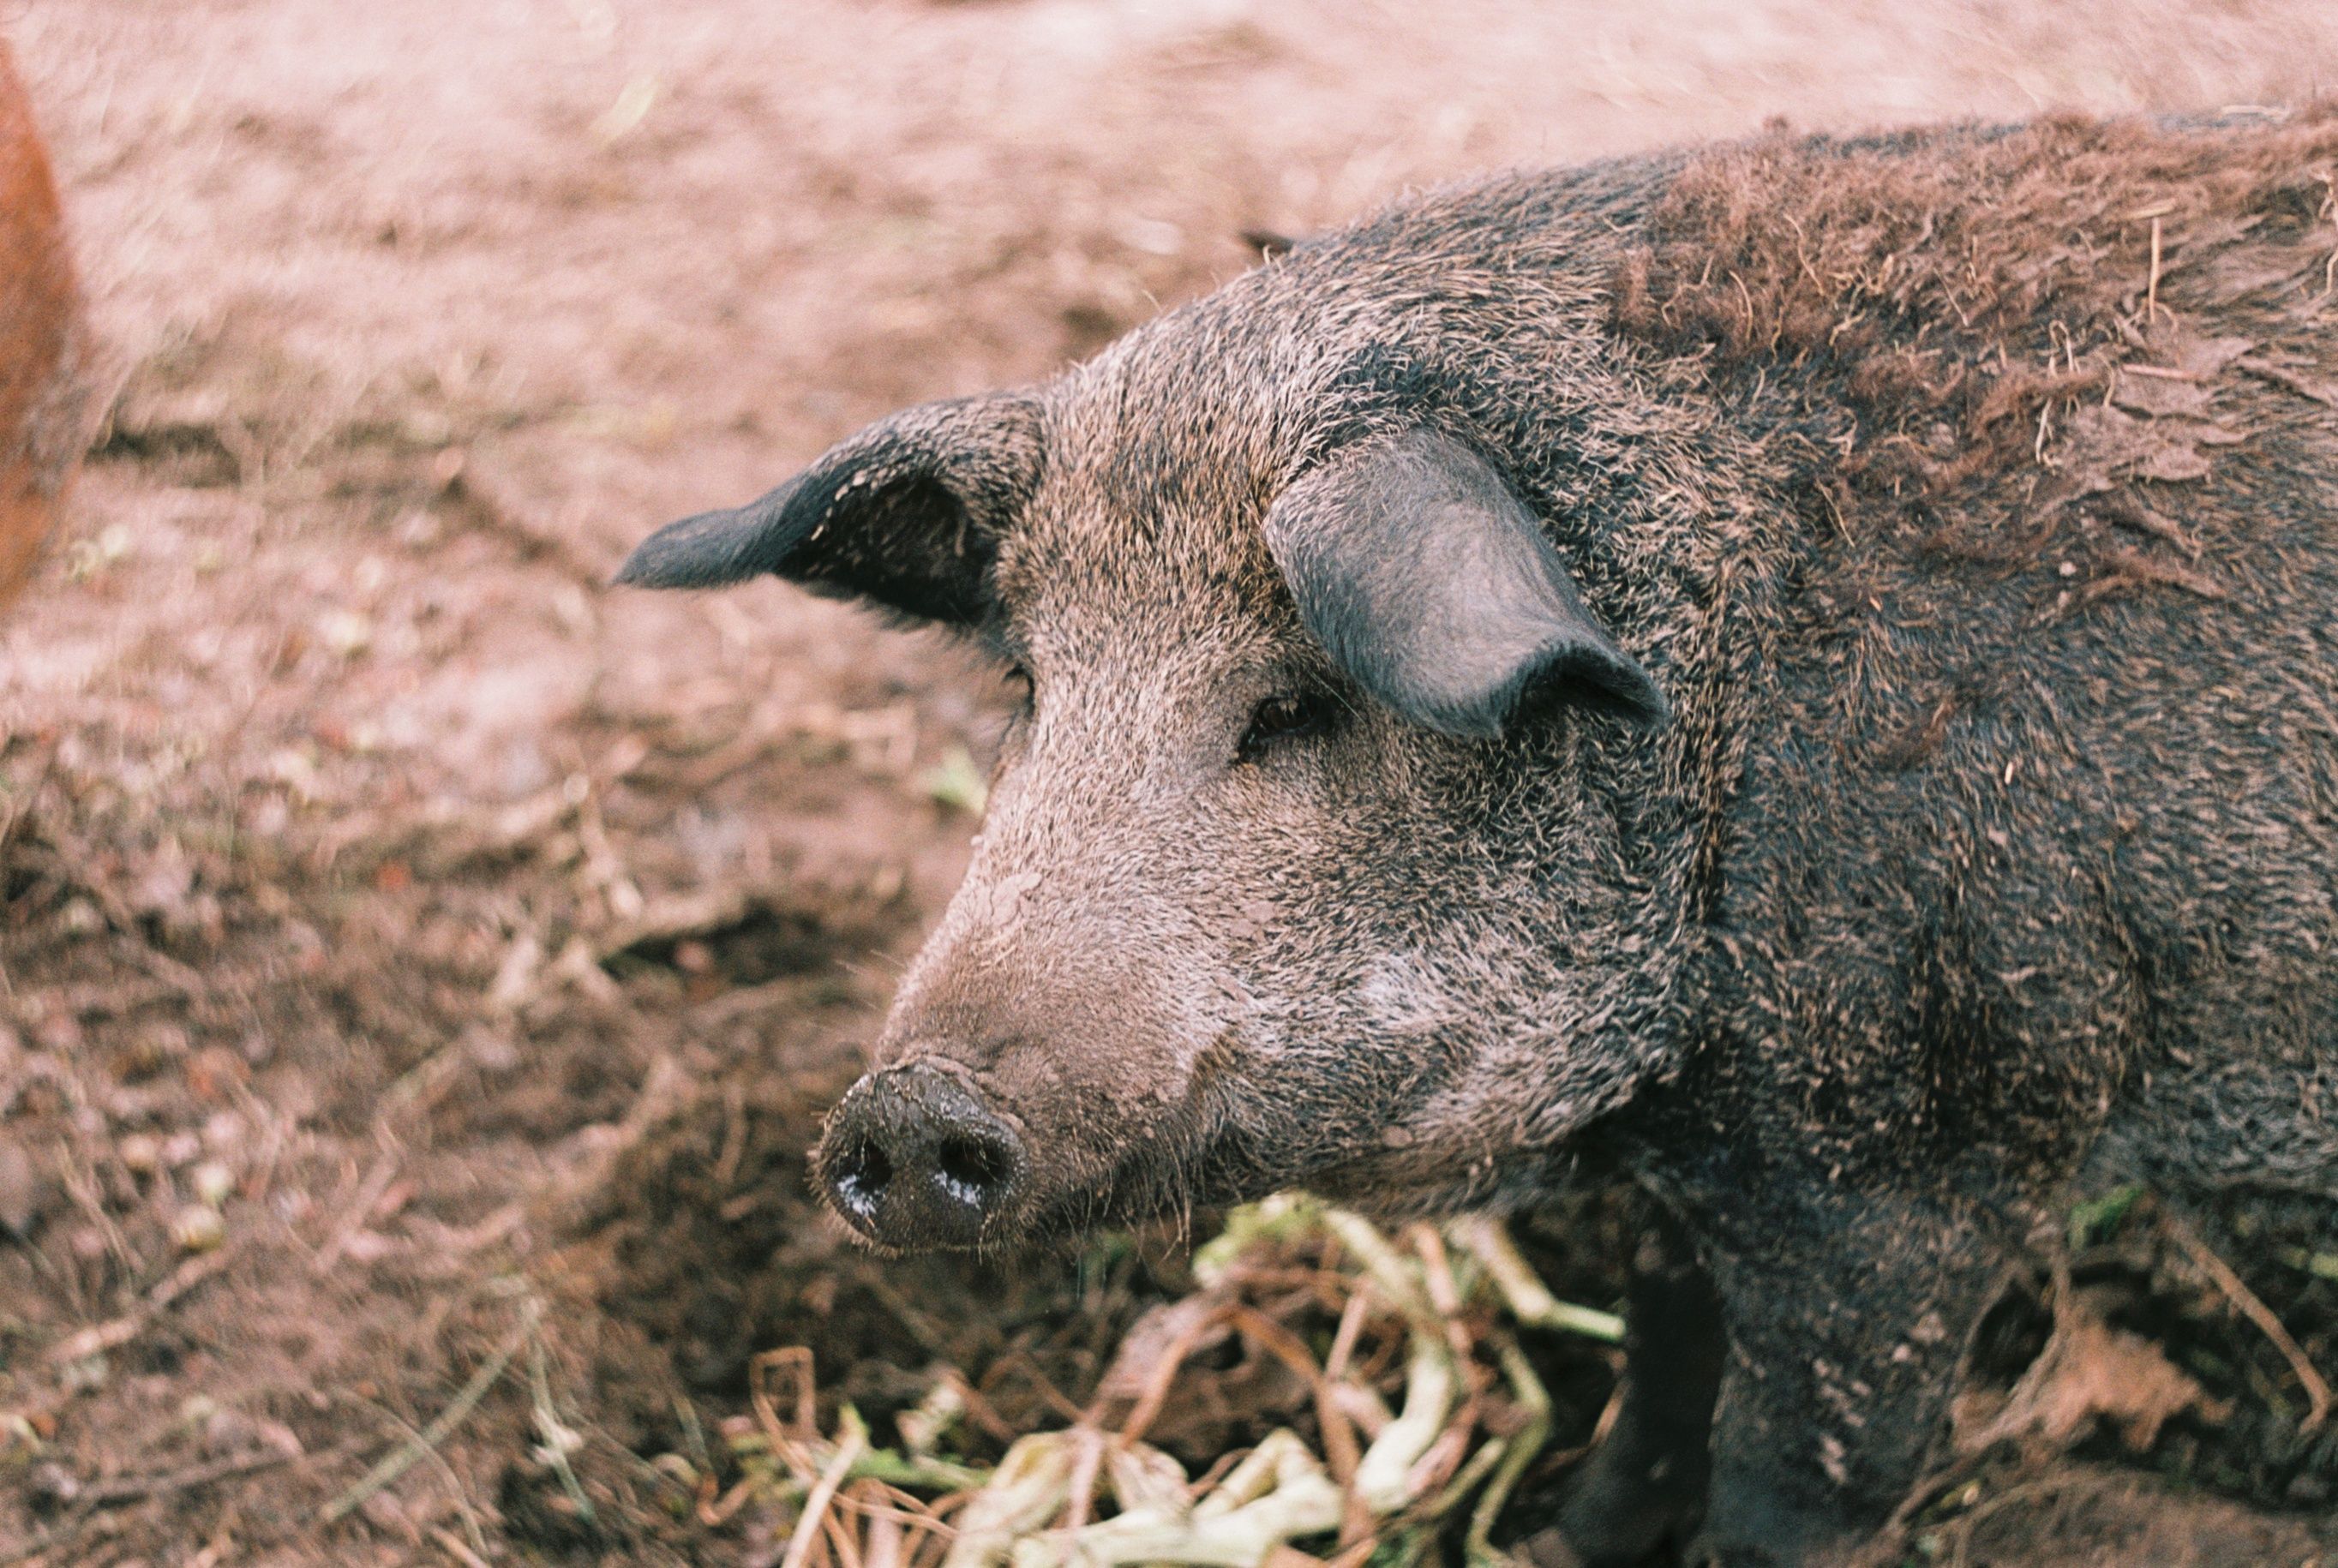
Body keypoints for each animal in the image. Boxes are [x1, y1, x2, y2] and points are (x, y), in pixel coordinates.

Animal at [621, 110, 2338, 1566]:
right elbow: (1658, 1366)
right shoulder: (1701, 1174)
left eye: (1296, 705)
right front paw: (1563, 1541)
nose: (904, 1110)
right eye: (1032, 685)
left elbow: (1795, 1480)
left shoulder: (1925, 1151)